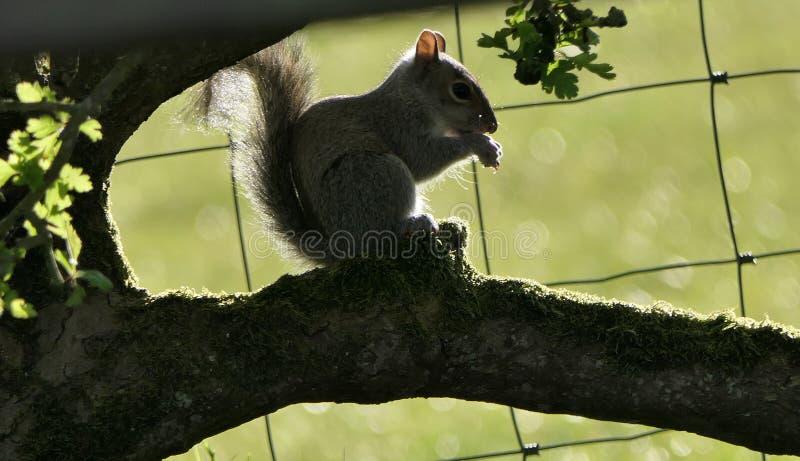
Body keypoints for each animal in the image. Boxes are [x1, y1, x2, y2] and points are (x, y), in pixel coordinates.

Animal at [189, 29, 502, 263]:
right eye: (460, 90)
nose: (492, 125)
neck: (411, 98)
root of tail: (341, 248)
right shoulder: (400, 127)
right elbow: (423, 160)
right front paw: (480, 144)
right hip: (376, 172)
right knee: (379, 236)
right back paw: (412, 224)